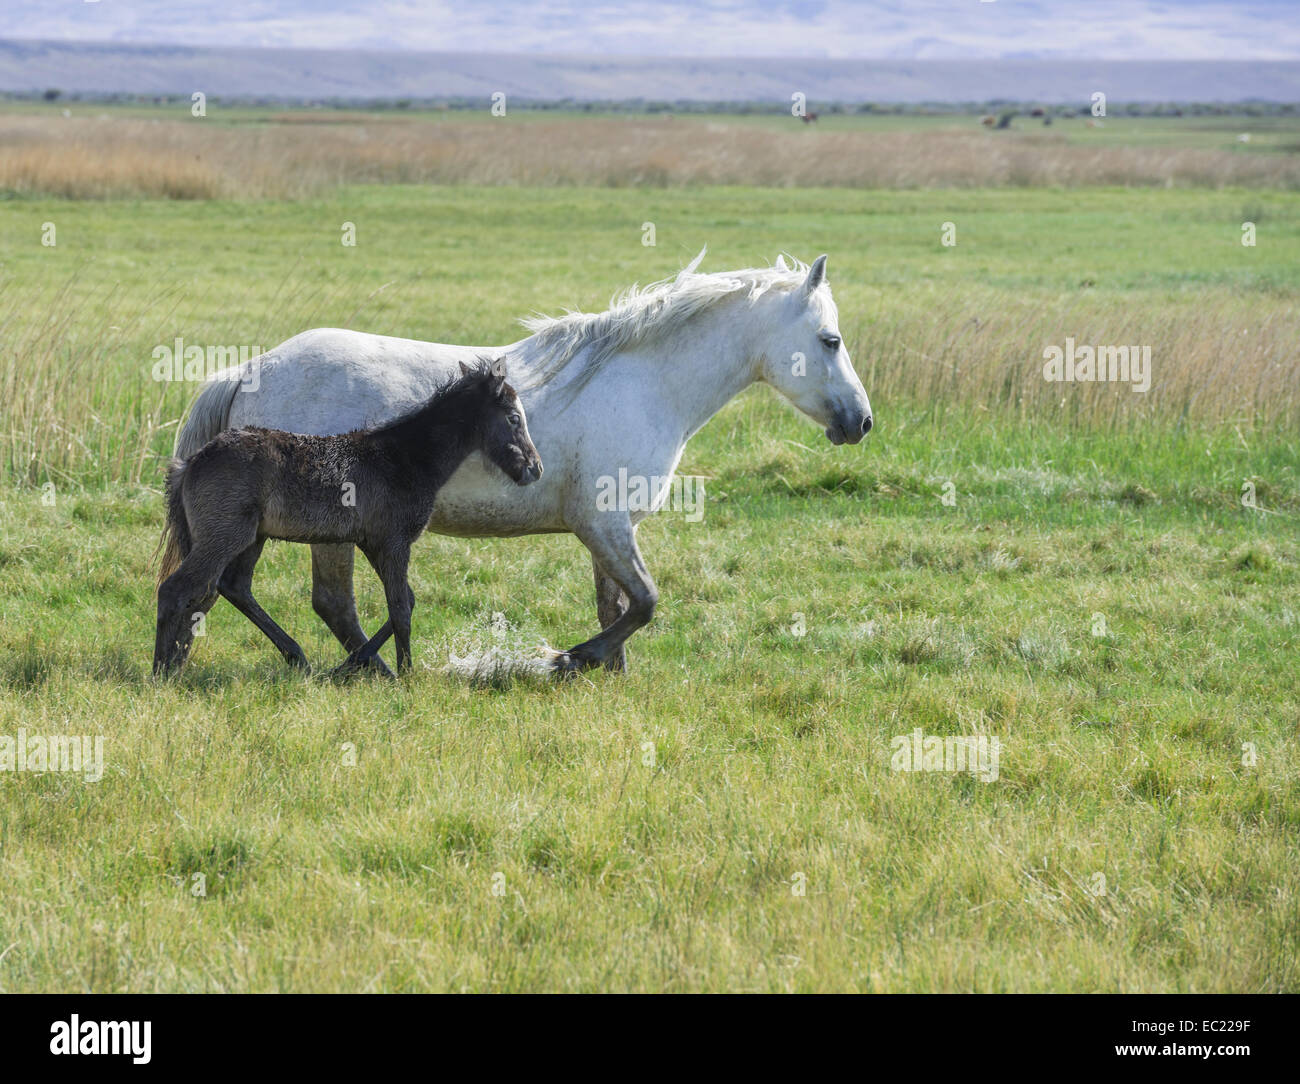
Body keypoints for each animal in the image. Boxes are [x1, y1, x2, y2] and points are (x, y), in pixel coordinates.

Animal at [155, 358, 541, 676]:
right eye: (514, 418)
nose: (534, 469)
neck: (404, 458)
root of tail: (190, 463)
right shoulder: (394, 542)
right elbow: (400, 608)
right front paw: (407, 675)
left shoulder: (373, 543)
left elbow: (406, 600)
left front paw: (351, 667)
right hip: (224, 536)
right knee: (177, 588)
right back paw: (161, 671)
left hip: (252, 537)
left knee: (231, 586)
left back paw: (296, 658)